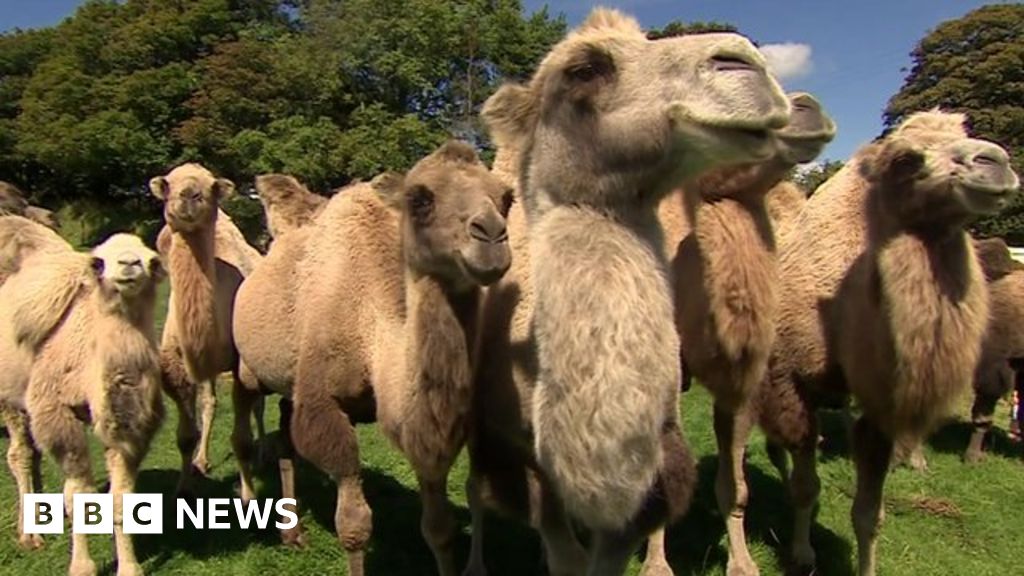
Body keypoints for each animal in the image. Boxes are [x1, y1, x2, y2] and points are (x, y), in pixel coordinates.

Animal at [0, 229, 165, 576]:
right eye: (99, 261)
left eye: (152, 259)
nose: (129, 264)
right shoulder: (57, 411)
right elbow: (80, 496)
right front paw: (82, 566)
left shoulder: (128, 426)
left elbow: (121, 497)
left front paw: (129, 567)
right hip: (10, 395)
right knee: (20, 453)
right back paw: (30, 535)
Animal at [150, 163, 264, 494]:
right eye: (167, 185)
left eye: (212, 186)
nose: (189, 195)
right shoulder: (175, 366)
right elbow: (185, 436)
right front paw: (184, 488)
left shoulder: (242, 363)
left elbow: (242, 441)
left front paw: (249, 495)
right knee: (210, 400)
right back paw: (202, 460)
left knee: (259, 405)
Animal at [232, 141, 513, 576]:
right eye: (420, 199)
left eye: (507, 199)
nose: (492, 235)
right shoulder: (324, 405)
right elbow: (353, 524)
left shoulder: (422, 431)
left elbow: (439, 528)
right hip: (249, 367)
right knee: (243, 421)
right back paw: (249, 505)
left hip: (291, 384)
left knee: (284, 439)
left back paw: (292, 532)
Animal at [757, 110, 1019, 576]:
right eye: (906, 160)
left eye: (965, 132)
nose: (996, 162)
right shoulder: (793, 382)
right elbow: (807, 486)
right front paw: (802, 554)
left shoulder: (880, 407)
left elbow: (868, 513)